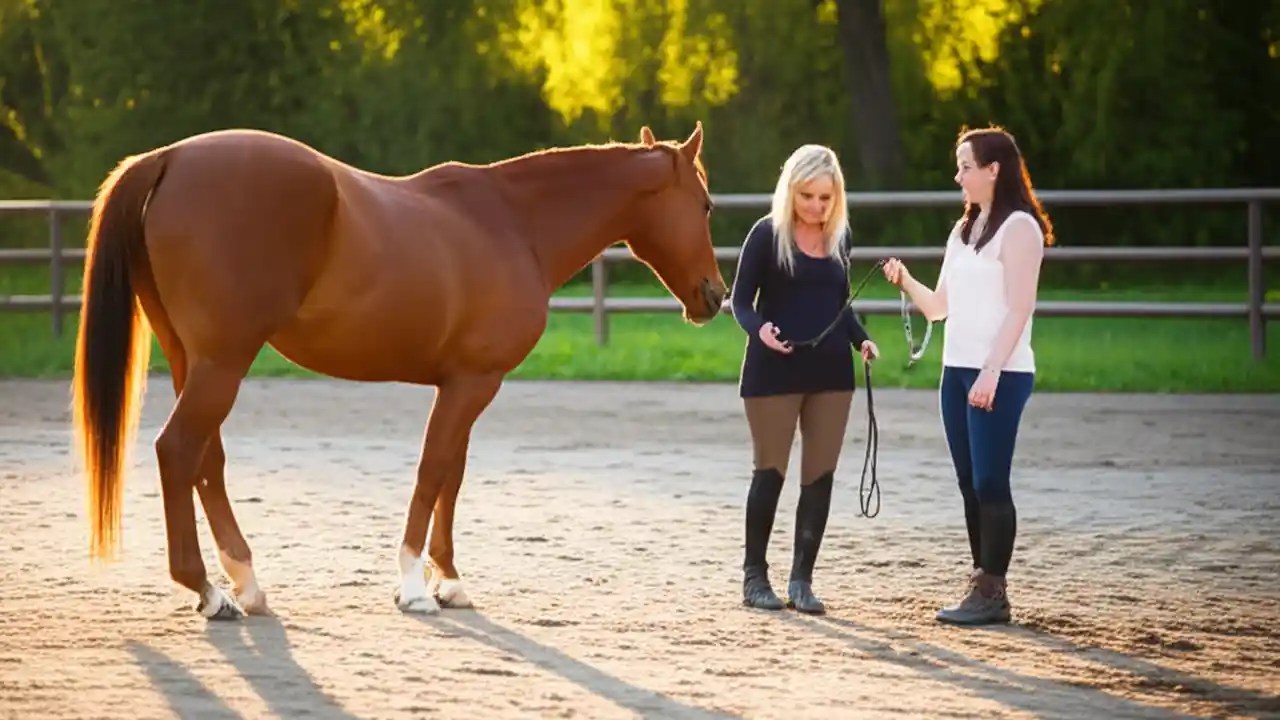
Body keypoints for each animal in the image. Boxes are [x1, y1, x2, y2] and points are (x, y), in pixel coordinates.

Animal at [72, 123, 726, 620]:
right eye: (705, 205)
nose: (715, 295)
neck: (514, 223)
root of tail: (170, 157)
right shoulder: (473, 383)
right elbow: (433, 470)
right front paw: (414, 586)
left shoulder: (463, 382)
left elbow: (452, 476)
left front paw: (449, 580)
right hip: (222, 364)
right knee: (179, 450)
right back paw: (207, 590)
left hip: (196, 361)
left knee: (208, 460)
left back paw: (246, 584)